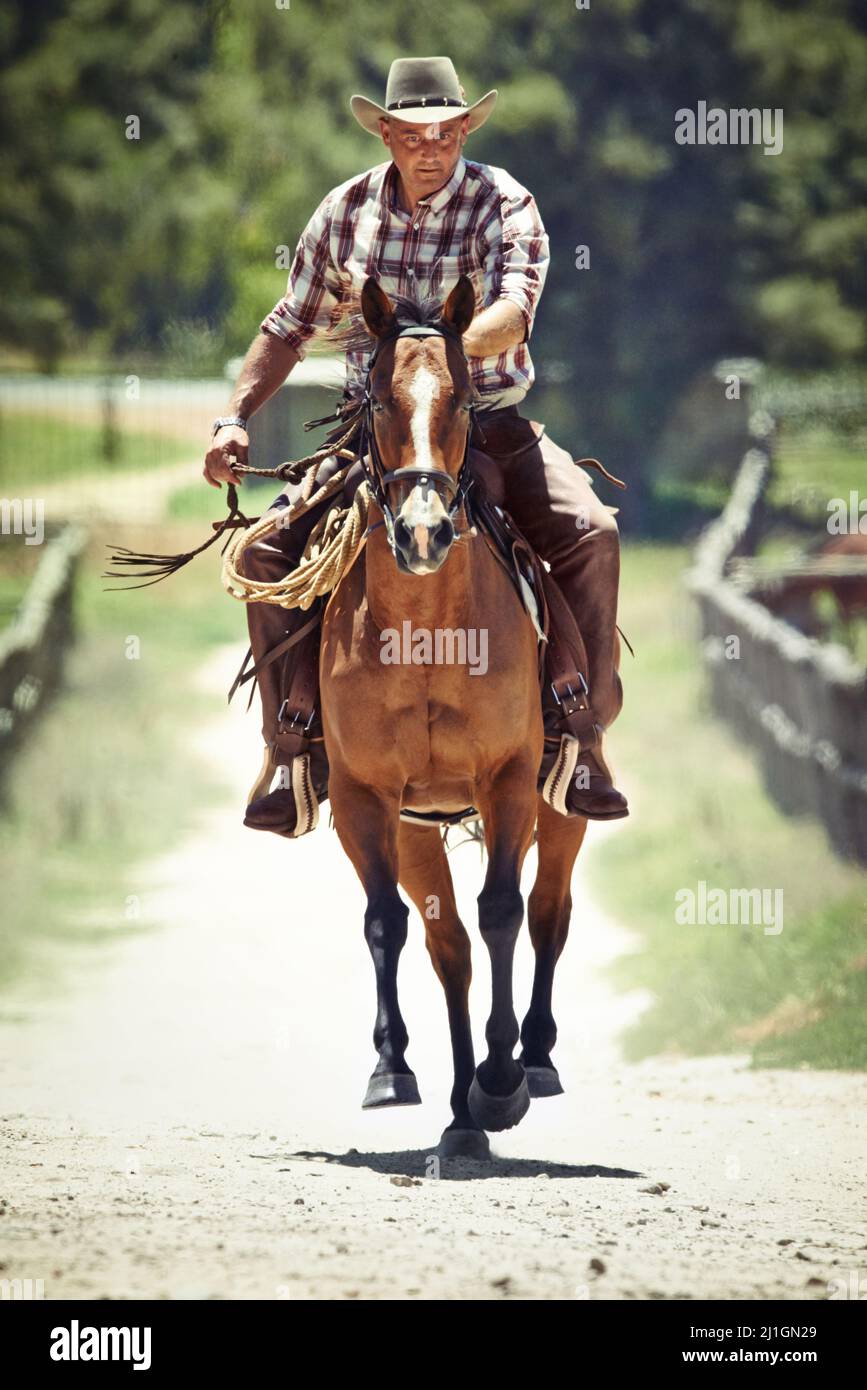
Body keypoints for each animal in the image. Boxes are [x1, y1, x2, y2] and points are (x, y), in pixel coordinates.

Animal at [320, 276, 589, 1159]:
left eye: (466, 400)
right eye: (375, 397)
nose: (424, 532)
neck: (428, 633)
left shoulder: (507, 780)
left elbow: (504, 911)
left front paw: (502, 1083)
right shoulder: (367, 798)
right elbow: (388, 925)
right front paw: (394, 1069)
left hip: (562, 804)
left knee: (546, 914)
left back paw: (530, 1062)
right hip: (415, 826)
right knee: (448, 950)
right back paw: (460, 1117)